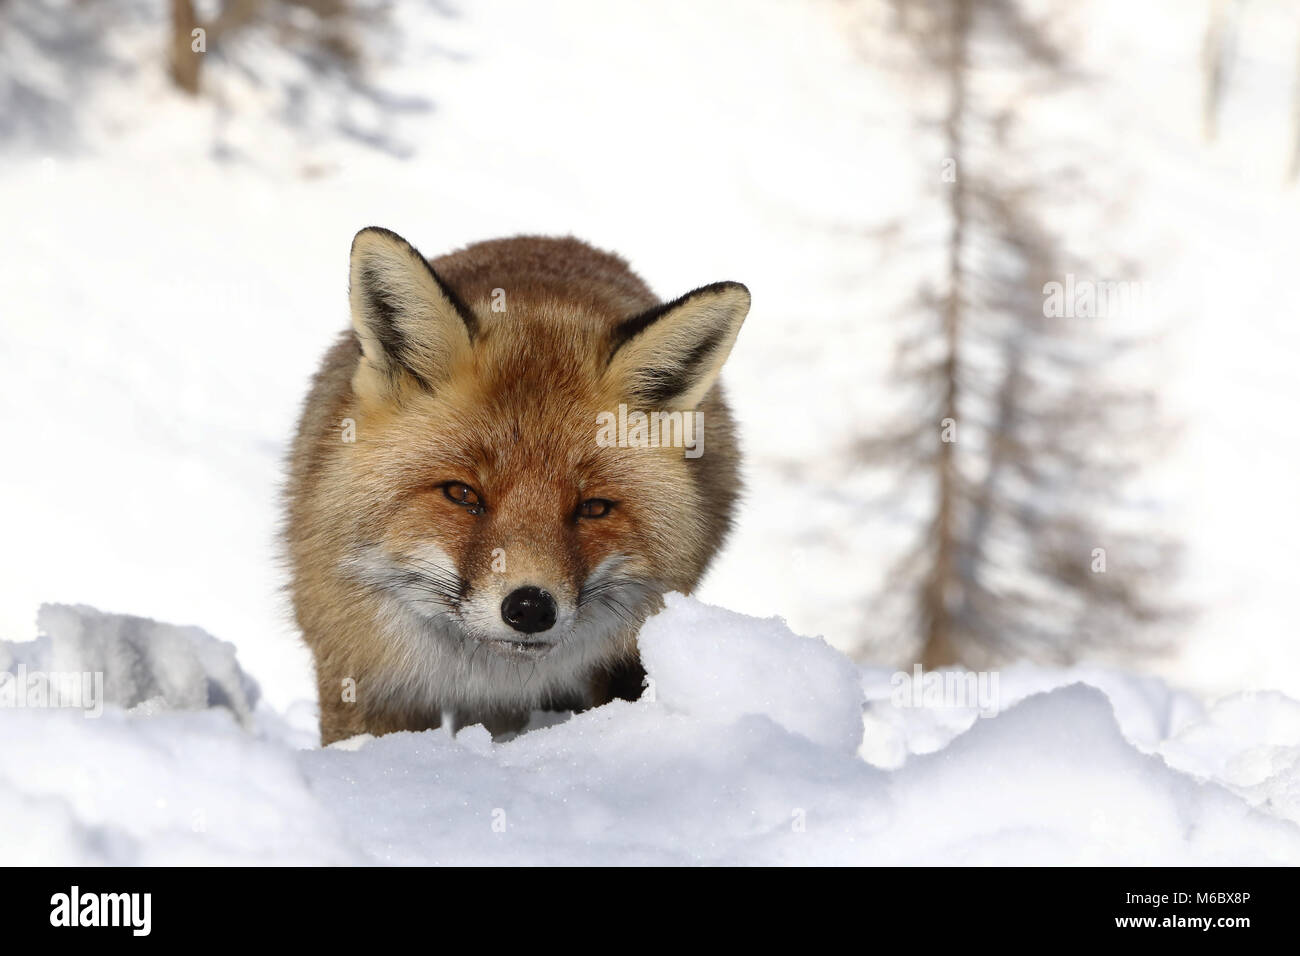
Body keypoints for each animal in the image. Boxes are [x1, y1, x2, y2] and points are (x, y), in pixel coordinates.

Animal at [284, 228, 750, 745]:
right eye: (462, 494)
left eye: (593, 507)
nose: (530, 608)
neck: (485, 676)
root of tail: (552, 238)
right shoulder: (360, 673)